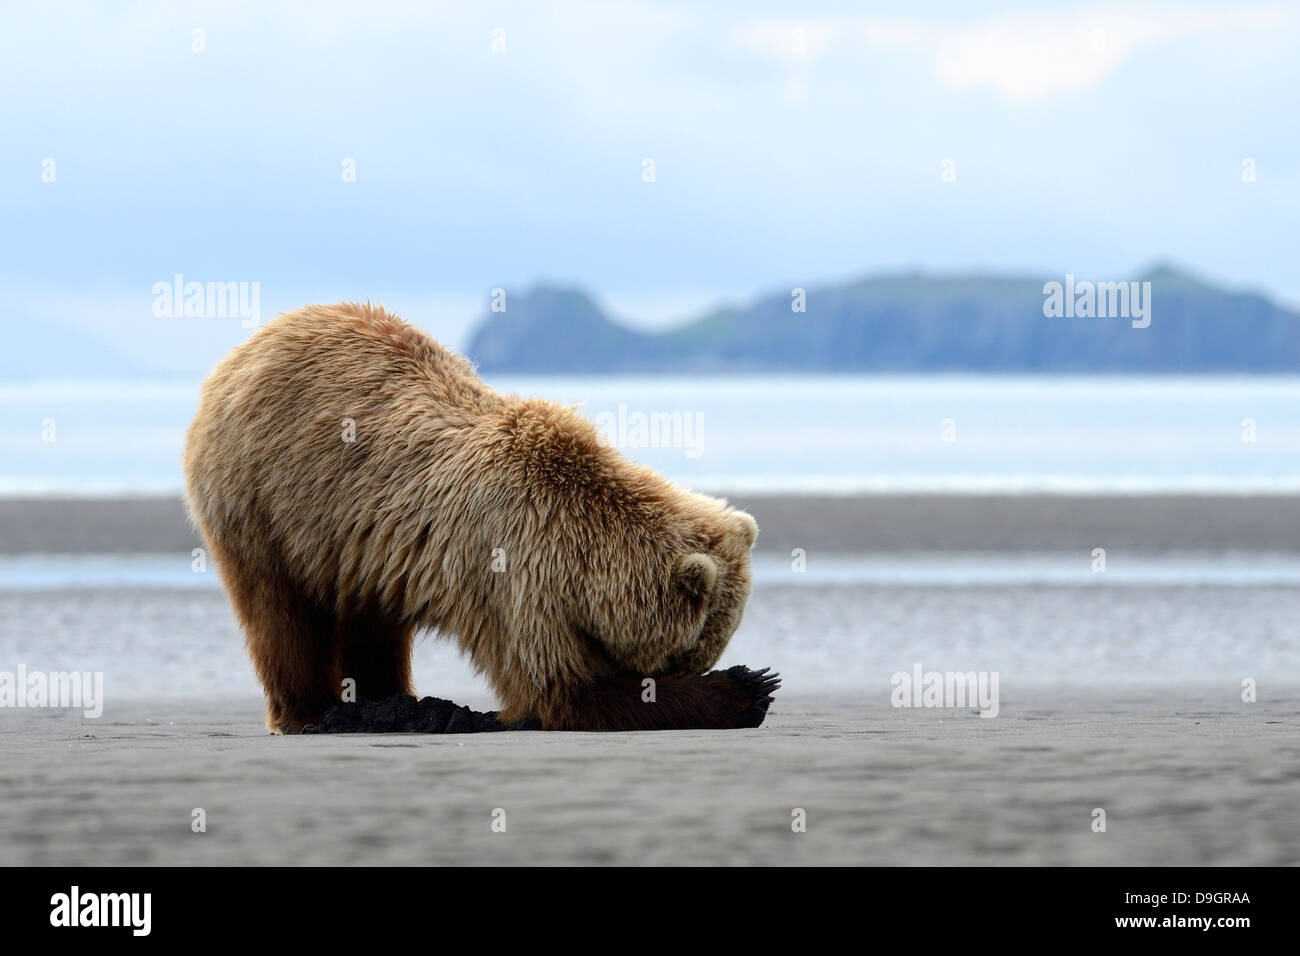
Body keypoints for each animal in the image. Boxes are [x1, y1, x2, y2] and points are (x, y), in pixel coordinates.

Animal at [182, 302, 778, 733]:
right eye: (685, 655)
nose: (678, 672)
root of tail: (248, 346)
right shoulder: (516, 569)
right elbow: (556, 689)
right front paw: (747, 687)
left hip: (356, 542)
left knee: (369, 617)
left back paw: (387, 701)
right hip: (260, 497)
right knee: (278, 613)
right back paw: (310, 713)